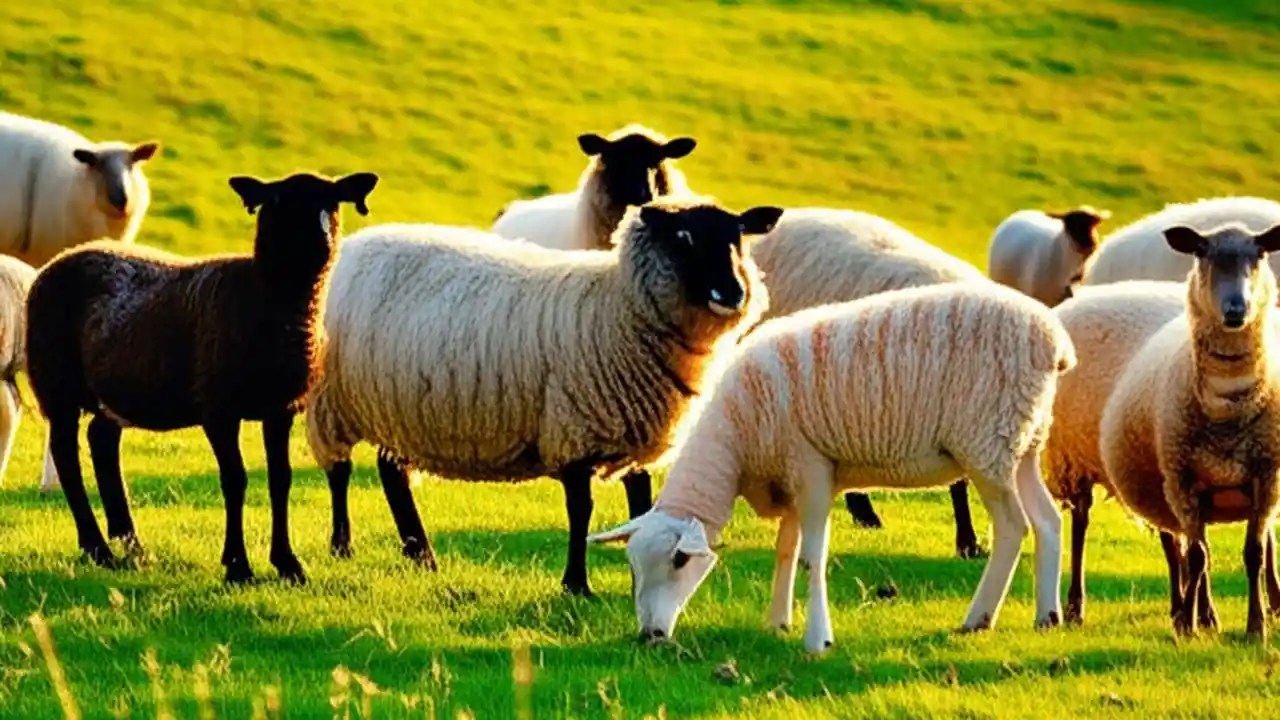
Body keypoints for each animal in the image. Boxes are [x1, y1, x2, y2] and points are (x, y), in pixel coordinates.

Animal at [26, 170, 378, 584]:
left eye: (333, 201)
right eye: (277, 201)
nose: (320, 242)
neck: (268, 298)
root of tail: (57, 261)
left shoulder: (279, 408)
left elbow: (280, 479)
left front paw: (288, 564)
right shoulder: (217, 408)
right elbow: (235, 480)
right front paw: (238, 566)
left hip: (112, 390)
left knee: (102, 441)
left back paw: (132, 547)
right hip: (56, 383)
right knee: (66, 455)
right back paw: (98, 548)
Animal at [306, 197, 783, 597]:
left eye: (739, 236)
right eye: (683, 237)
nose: (733, 293)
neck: (617, 308)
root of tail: (357, 245)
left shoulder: (632, 433)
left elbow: (640, 506)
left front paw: (635, 580)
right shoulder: (572, 429)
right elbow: (581, 509)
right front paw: (577, 585)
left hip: (398, 410)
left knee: (391, 473)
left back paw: (421, 555)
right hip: (332, 401)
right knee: (339, 471)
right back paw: (342, 545)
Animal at [591, 282, 1075, 652]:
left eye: (678, 561)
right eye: (632, 568)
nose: (651, 635)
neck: (735, 440)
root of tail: (1056, 341)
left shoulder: (811, 467)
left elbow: (813, 557)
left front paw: (817, 639)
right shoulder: (788, 474)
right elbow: (785, 550)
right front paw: (777, 622)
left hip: (987, 442)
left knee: (1013, 527)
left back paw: (979, 617)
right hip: (1023, 441)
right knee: (1048, 520)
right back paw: (1047, 616)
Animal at [1100, 222, 1280, 639]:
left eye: (1260, 253)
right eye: (1201, 252)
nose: (1236, 309)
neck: (1228, 405)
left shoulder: (1266, 476)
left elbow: (1255, 553)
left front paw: (1256, 626)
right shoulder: (1183, 479)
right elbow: (1197, 557)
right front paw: (1188, 625)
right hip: (1170, 494)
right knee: (1184, 552)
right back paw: (1196, 614)